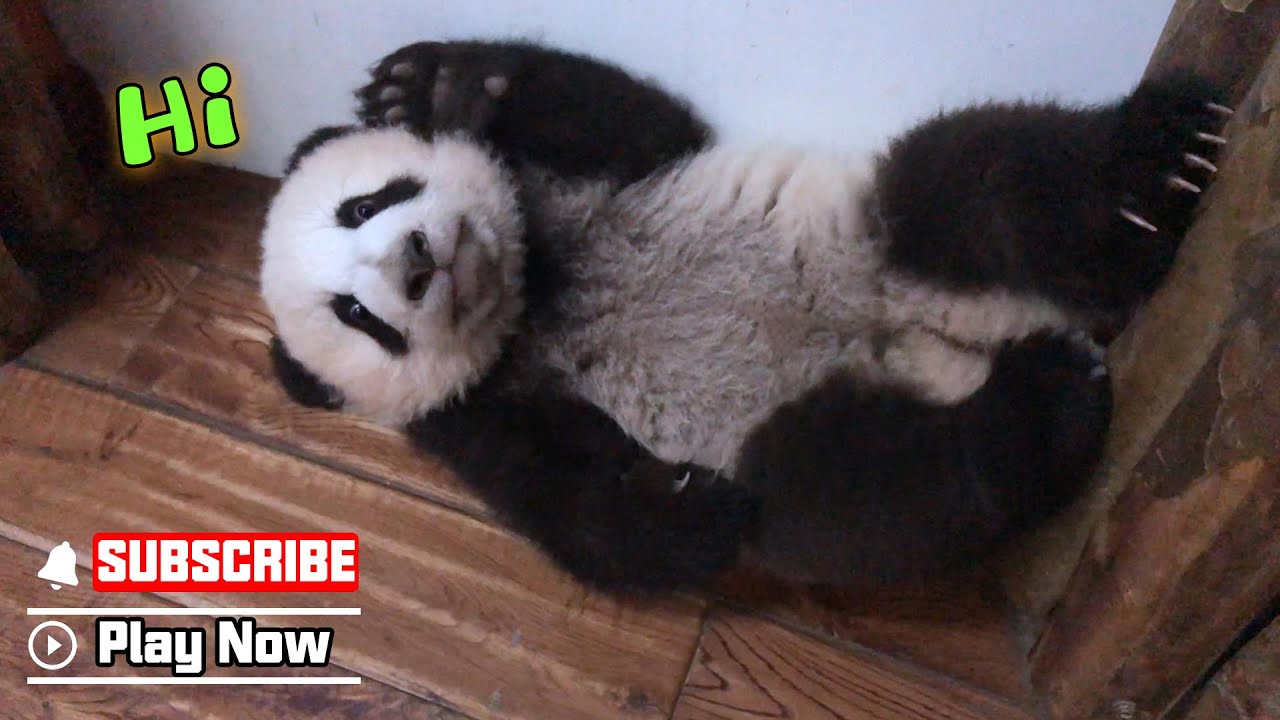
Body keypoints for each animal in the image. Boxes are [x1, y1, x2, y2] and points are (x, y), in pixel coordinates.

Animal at [260, 40, 1229, 593]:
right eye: (358, 314)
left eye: (365, 203)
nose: (418, 260)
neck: (534, 295)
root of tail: (931, 341)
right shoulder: (476, 413)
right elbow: (576, 507)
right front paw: (692, 506)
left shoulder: (600, 175)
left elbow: (607, 109)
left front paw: (422, 87)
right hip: (794, 426)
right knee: (871, 495)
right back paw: (1043, 397)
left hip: (875, 223)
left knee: (989, 181)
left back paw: (1161, 163)